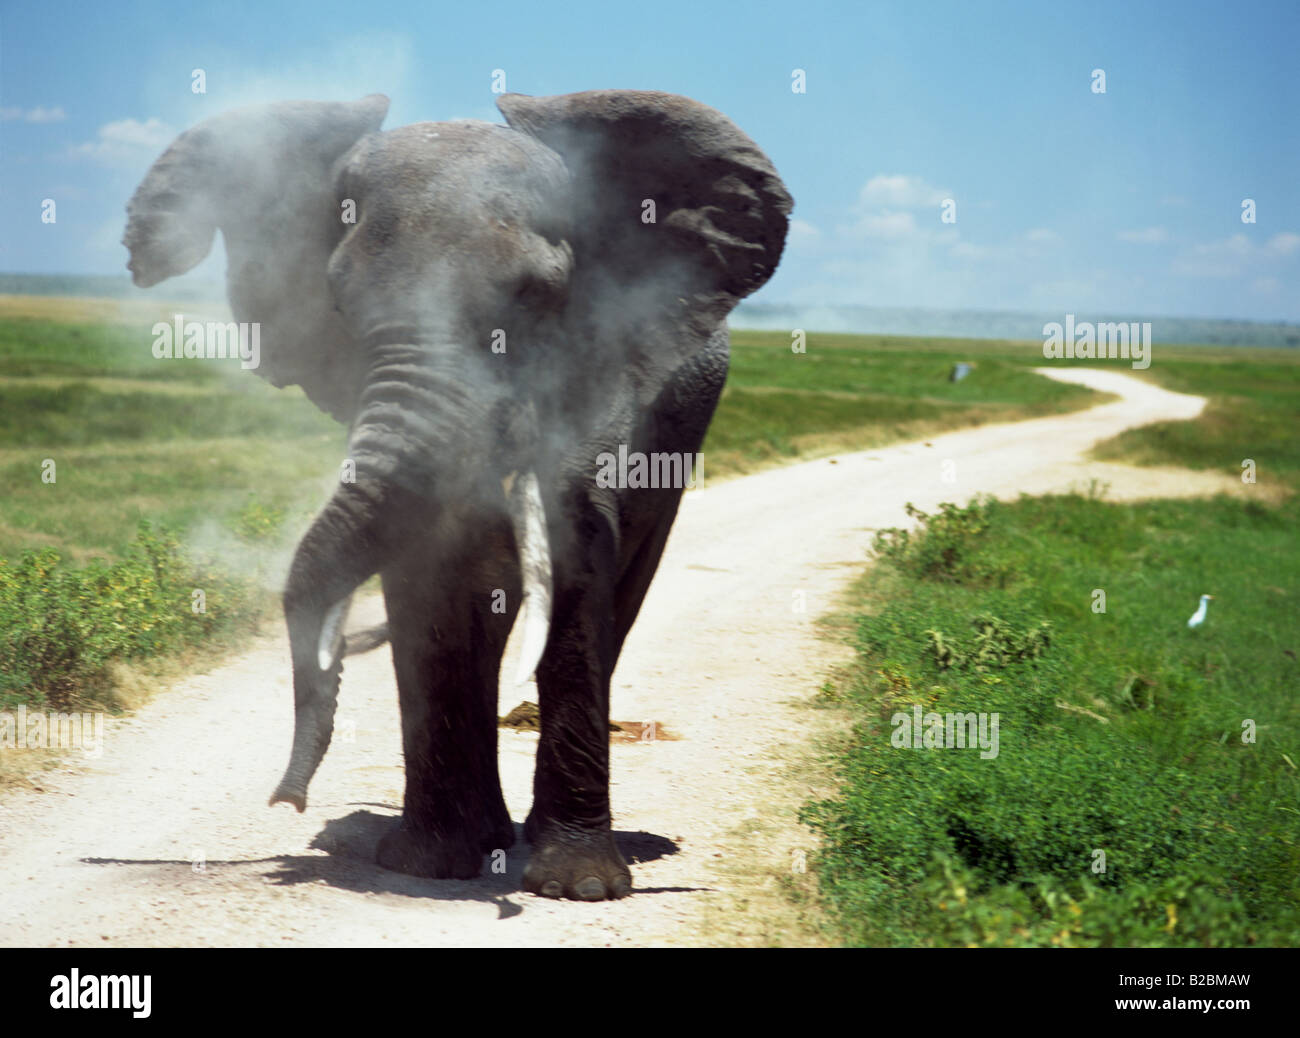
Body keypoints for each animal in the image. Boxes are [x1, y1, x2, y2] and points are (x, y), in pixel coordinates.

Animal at [123, 89, 792, 899]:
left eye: (538, 299)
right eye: (338, 306)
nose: (286, 800)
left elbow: (578, 564)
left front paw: (575, 887)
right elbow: (429, 585)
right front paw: (429, 866)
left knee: (621, 597)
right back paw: (490, 837)